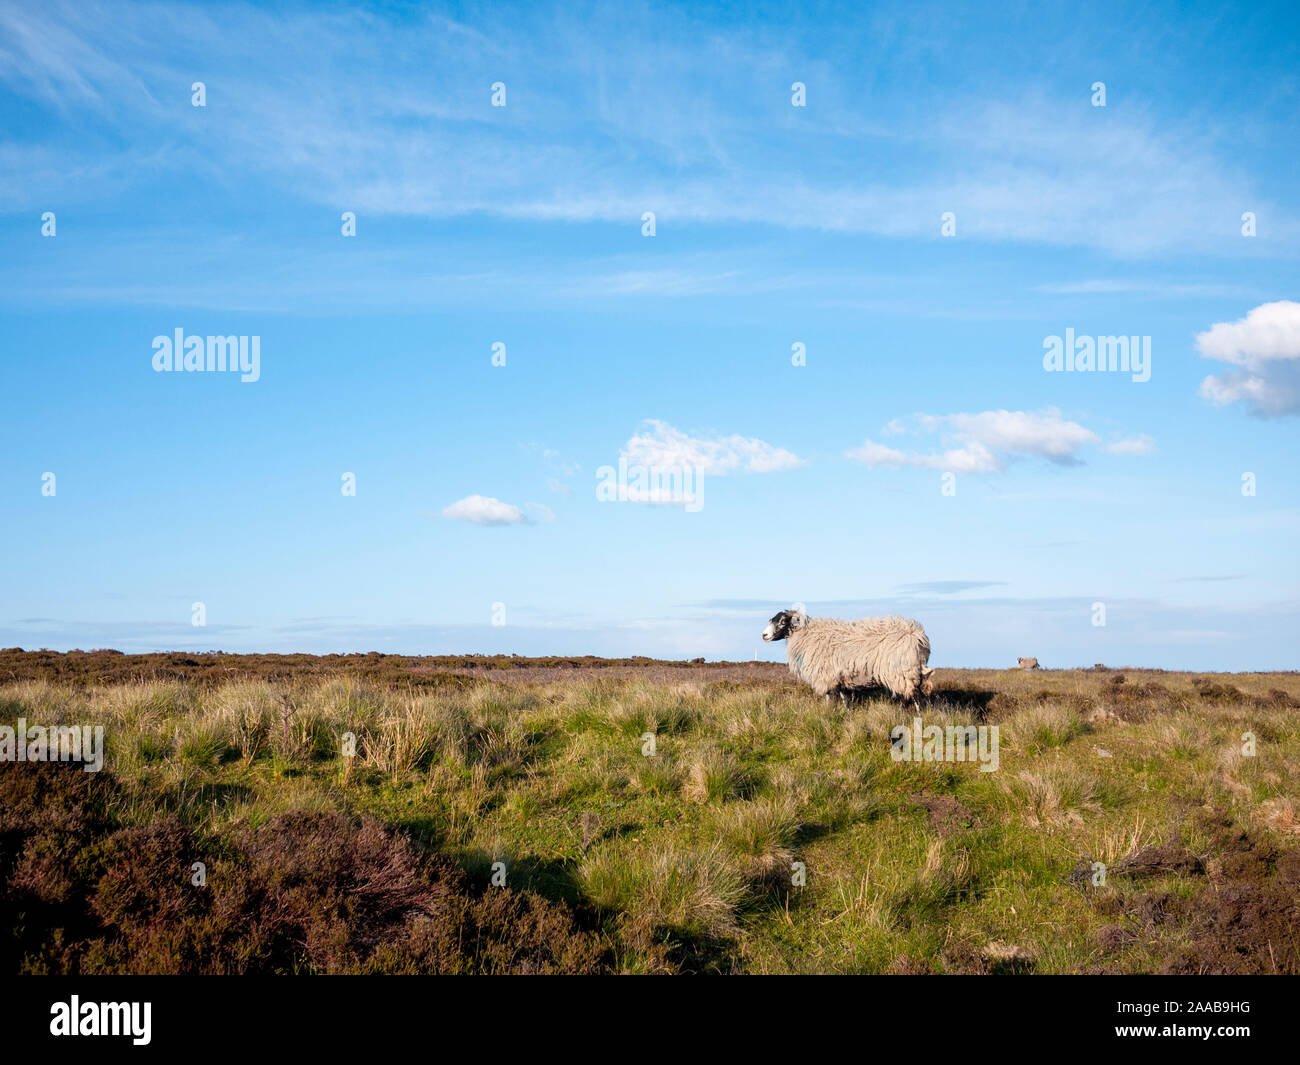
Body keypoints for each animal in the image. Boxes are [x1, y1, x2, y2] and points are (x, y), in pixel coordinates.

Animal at [761, 609, 934, 706]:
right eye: (772, 619)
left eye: (783, 621)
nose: (764, 635)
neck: (806, 634)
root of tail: (918, 636)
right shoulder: (840, 677)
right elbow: (844, 699)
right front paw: (846, 713)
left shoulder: (825, 675)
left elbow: (829, 697)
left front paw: (827, 713)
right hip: (911, 672)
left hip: (902, 672)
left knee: (913, 696)